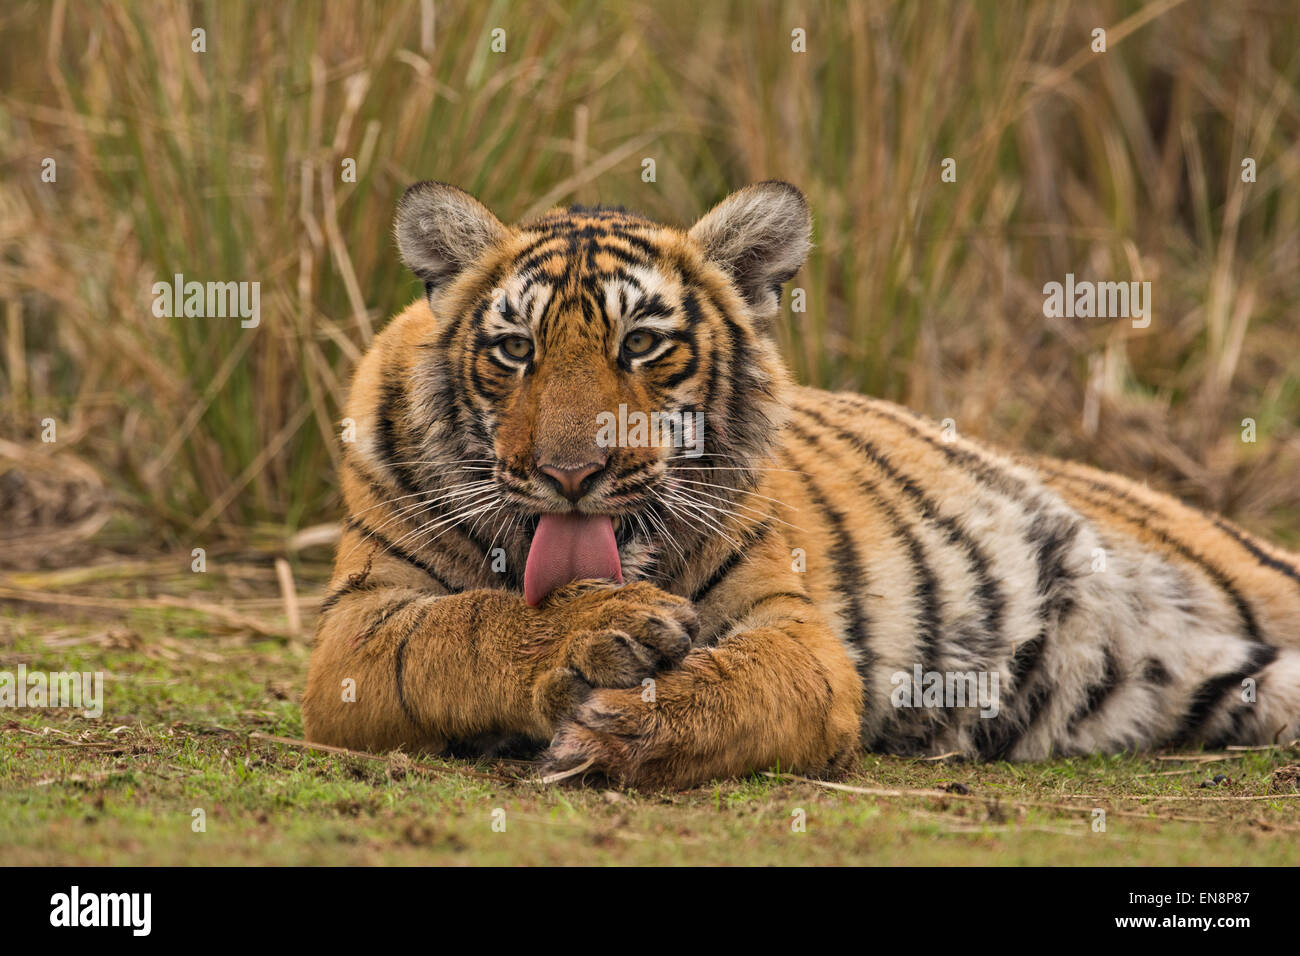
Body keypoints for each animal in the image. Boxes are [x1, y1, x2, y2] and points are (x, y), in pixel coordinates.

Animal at [301, 180, 1300, 789]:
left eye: (642, 344)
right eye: (515, 350)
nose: (570, 473)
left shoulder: (797, 631)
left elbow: (741, 685)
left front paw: (620, 727)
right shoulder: (353, 637)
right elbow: (463, 628)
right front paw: (594, 632)